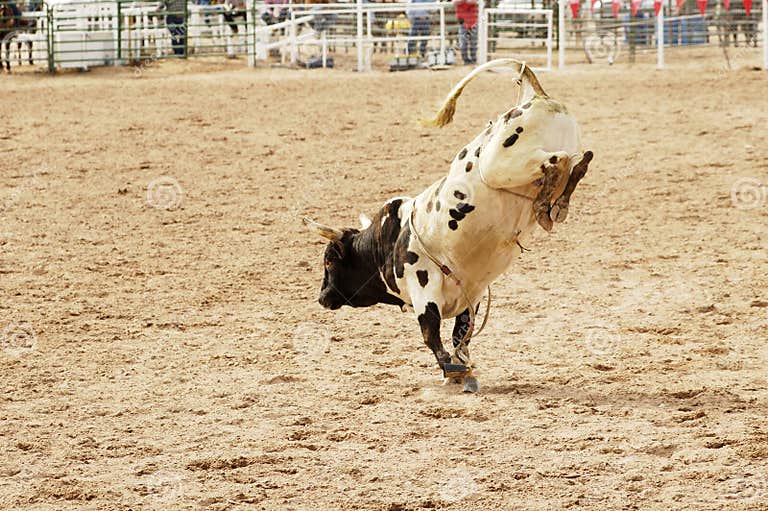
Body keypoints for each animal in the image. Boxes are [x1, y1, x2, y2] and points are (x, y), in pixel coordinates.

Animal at [304, 59, 593, 393]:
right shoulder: (472, 294)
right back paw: (556, 200)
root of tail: (536, 97)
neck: (387, 241)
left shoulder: (424, 289)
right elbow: (460, 334)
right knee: (576, 160)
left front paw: (453, 369)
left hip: (503, 164)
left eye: (329, 260)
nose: (322, 296)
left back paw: (549, 197)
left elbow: (431, 336)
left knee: (557, 160)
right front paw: (462, 370)